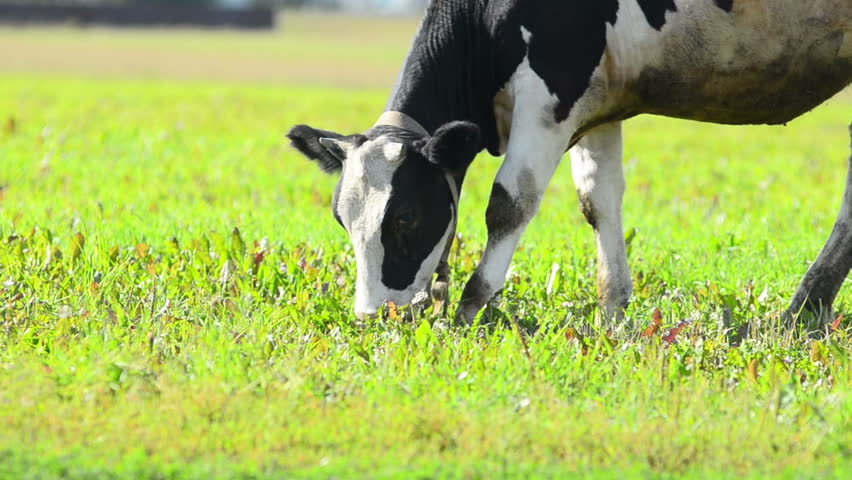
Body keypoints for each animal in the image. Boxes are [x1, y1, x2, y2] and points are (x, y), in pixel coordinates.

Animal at [287, 0, 852, 326]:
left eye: (405, 217)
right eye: (342, 219)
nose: (372, 316)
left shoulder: (553, 87)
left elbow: (510, 201)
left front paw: (473, 305)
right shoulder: (598, 103)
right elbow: (597, 200)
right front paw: (614, 310)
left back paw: (805, 306)